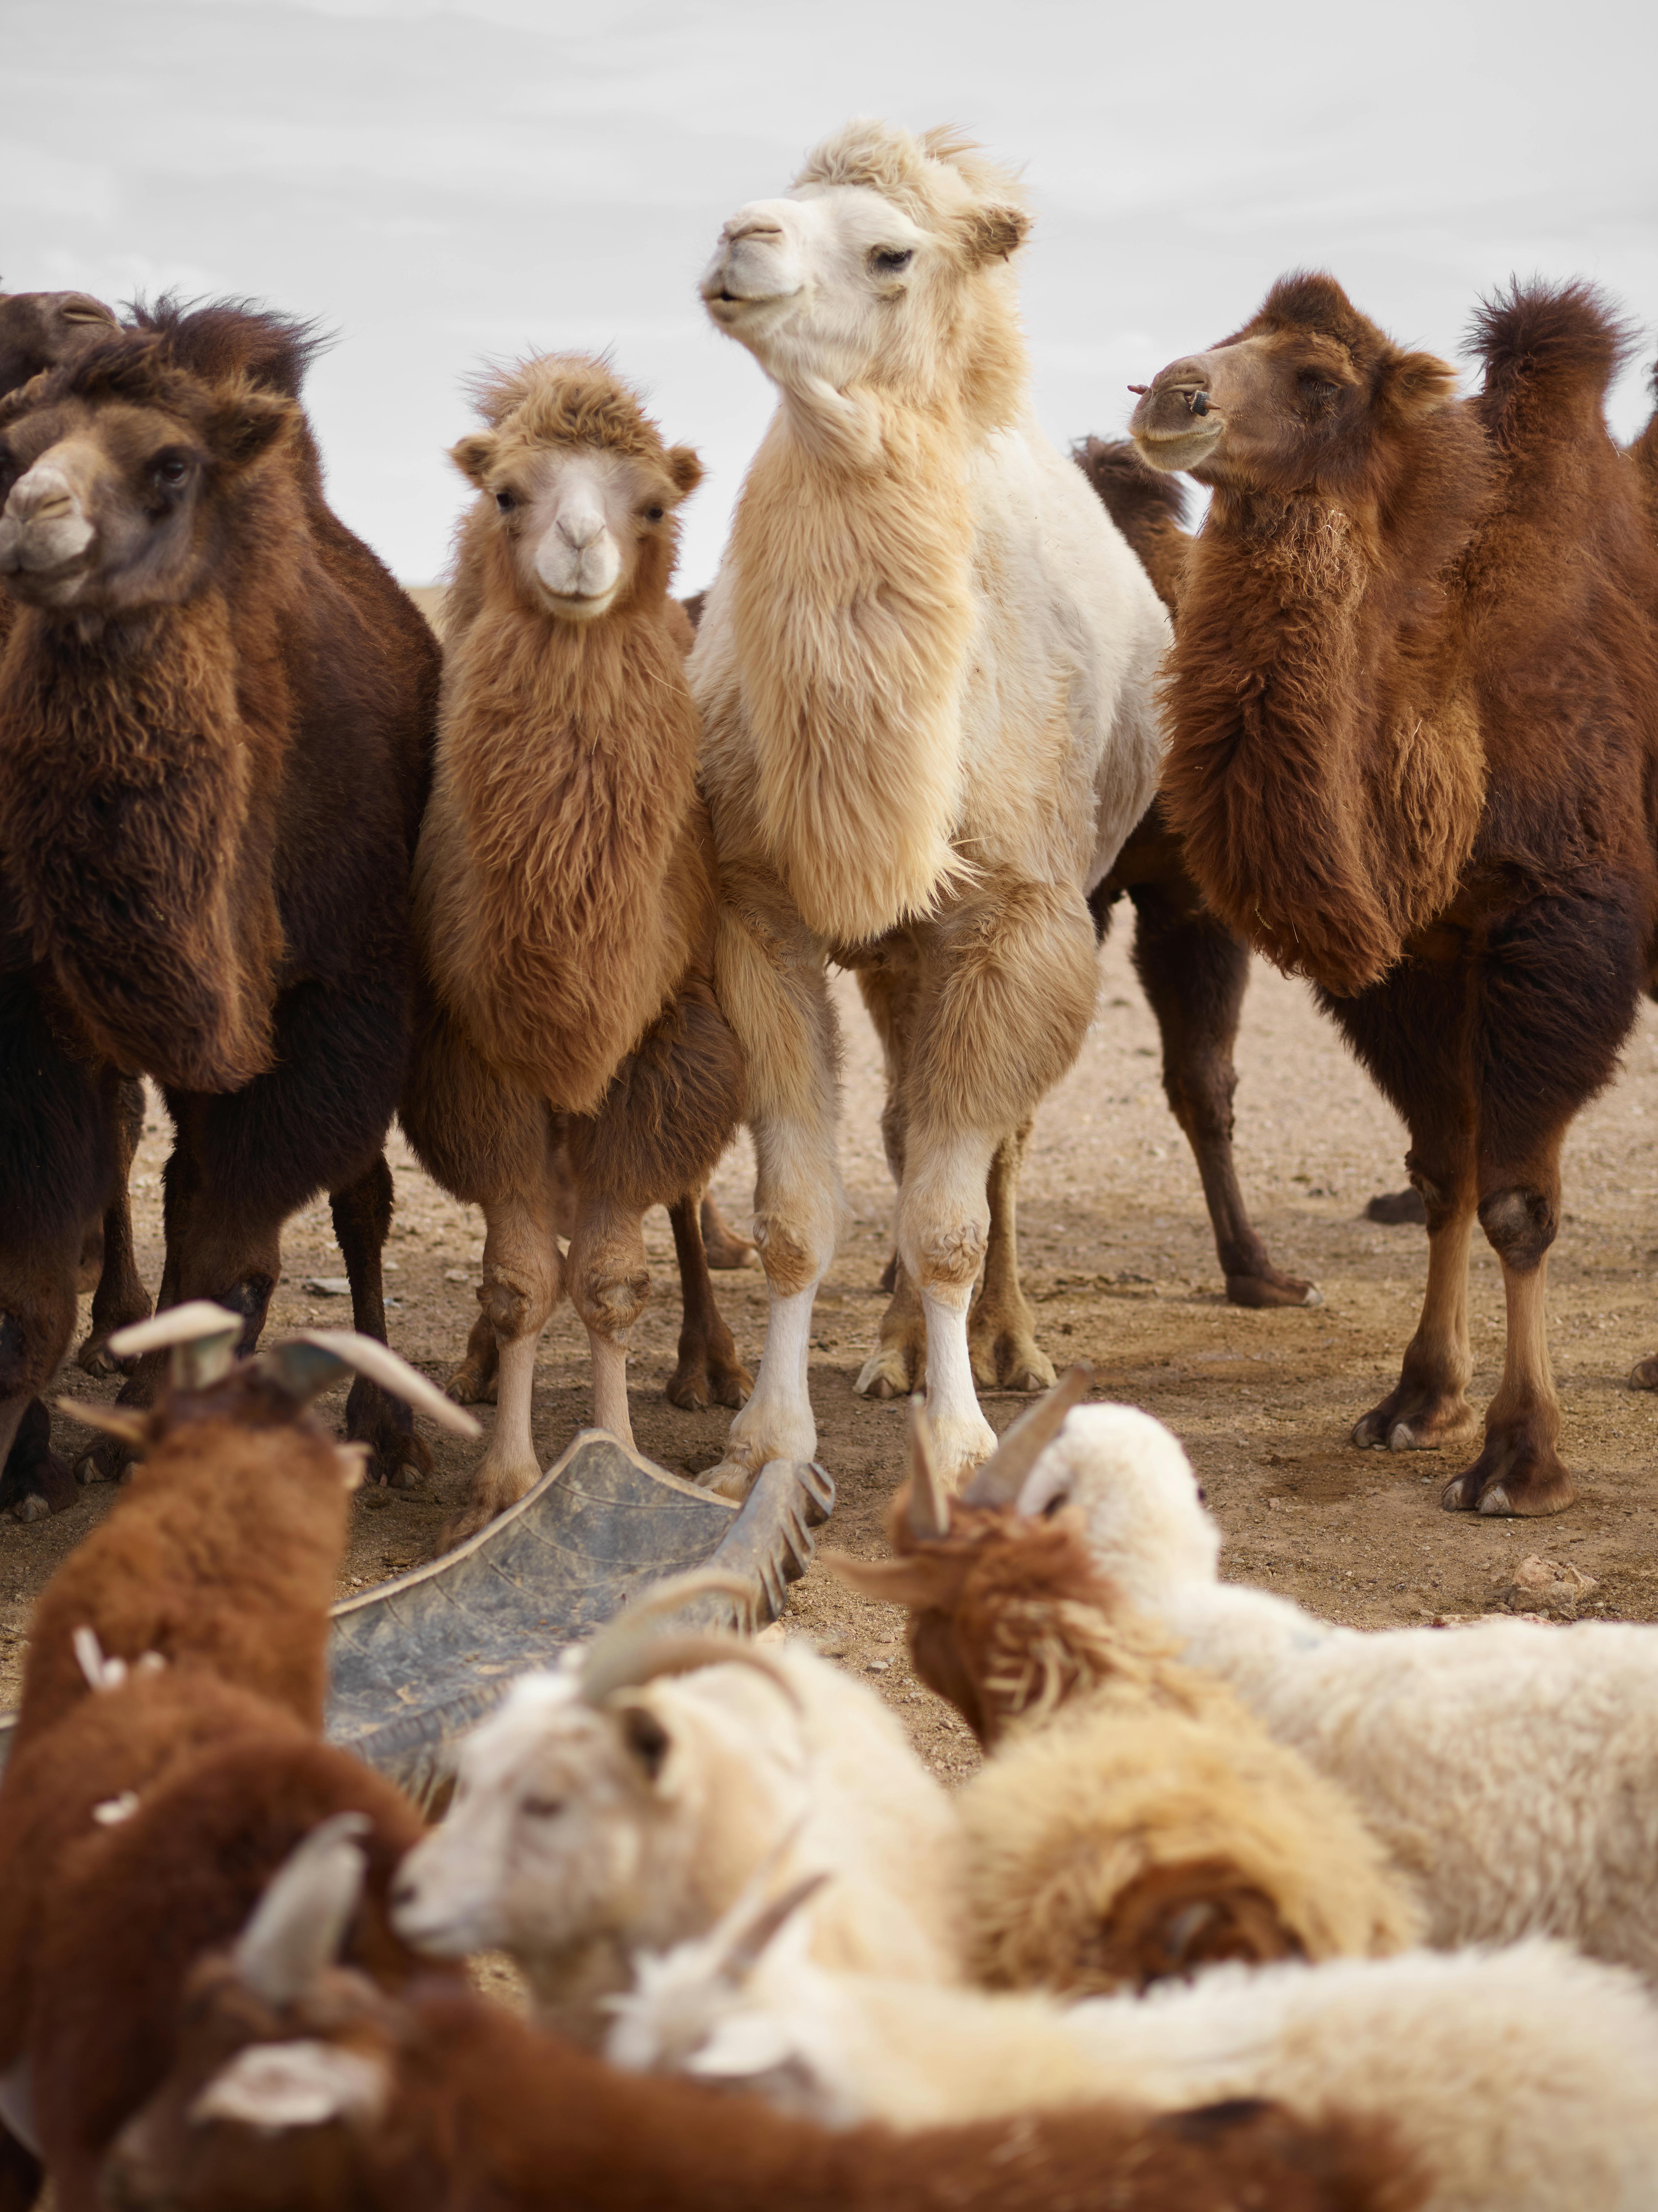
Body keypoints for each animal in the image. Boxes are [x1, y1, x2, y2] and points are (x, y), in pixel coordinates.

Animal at [0, 297, 440, 1507]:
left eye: (171, 466)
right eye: (9, 450)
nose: (31, 516)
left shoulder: (332, 997)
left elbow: (230, 1248)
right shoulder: (33, 1012)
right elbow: (28, 1290)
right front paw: (32, 1465)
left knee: (348, 1199)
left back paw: (387, 1430)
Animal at [400, 354, 746, 1540]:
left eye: (655, 505)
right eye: (509, 493)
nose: (584, 546)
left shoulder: (664, 1044)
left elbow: (606, 1281)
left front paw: (614, 1457)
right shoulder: (471, 1053)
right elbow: (520, 1283)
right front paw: (501, 1485)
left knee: (683, 1204)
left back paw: (712, 1364)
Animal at [690, 121, 1167, 1495]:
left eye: (890, 253)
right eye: (778, 204)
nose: (738, 238)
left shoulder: (1018, 922)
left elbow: (956, 1210)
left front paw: (960, 1449)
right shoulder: (757, 914)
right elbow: (794, 1214)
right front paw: (763, 1443)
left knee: (989, 1148)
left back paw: (1001, 1347)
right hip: (899, 955)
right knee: (906, 1124)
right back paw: (896, 1348)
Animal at [1130, 273, 1658, 1515]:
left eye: (1319, 378)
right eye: (1227, 336)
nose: (1171, 396)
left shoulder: (1558, 928)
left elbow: (1516, 1203)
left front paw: (1518, 1459)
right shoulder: (1417, 956)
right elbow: (1440, 1176)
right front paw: (1416, 1401)